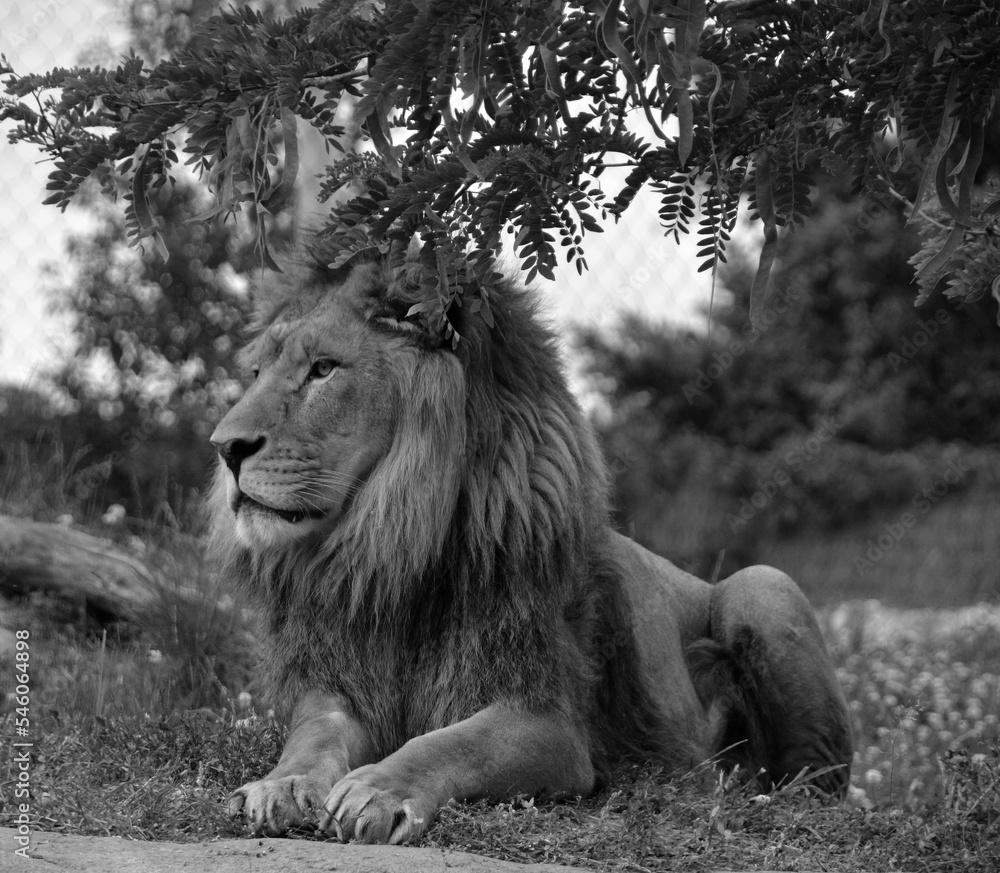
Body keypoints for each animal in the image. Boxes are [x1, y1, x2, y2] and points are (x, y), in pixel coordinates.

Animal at [210, 247, 853, 844]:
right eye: (259, 371)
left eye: (324, 368)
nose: (225, 446)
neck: (393, 552)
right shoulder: (340, 686)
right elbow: (312, 736)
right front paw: (280, 786)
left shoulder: (551, 723)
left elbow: (447, 744)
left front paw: (377, 790)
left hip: (762, 586)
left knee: (818, 780)